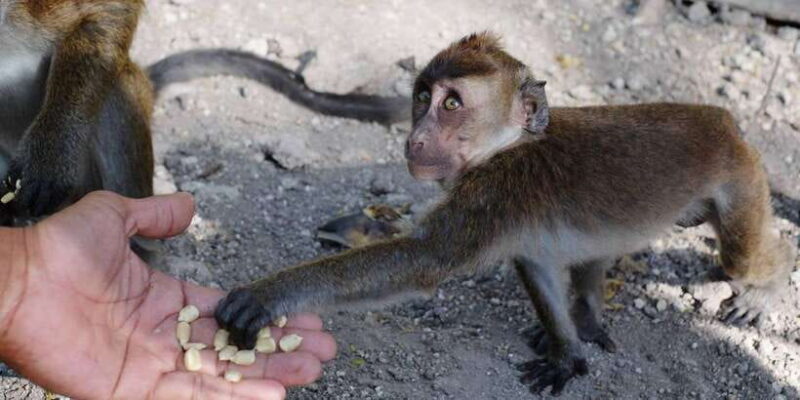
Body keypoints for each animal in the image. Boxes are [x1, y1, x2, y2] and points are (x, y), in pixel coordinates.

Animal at [214, 32, 796, 394]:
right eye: (421, 96)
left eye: (452, 104)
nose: (415, 137)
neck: (504, 148)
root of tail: (721, 119)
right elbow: (535, 262)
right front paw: (565, 351)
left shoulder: (495, 193)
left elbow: (423, 260)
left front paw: (267, 295)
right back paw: (586, 308)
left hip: (740, 179)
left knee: (744, 254)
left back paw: (766, 284)